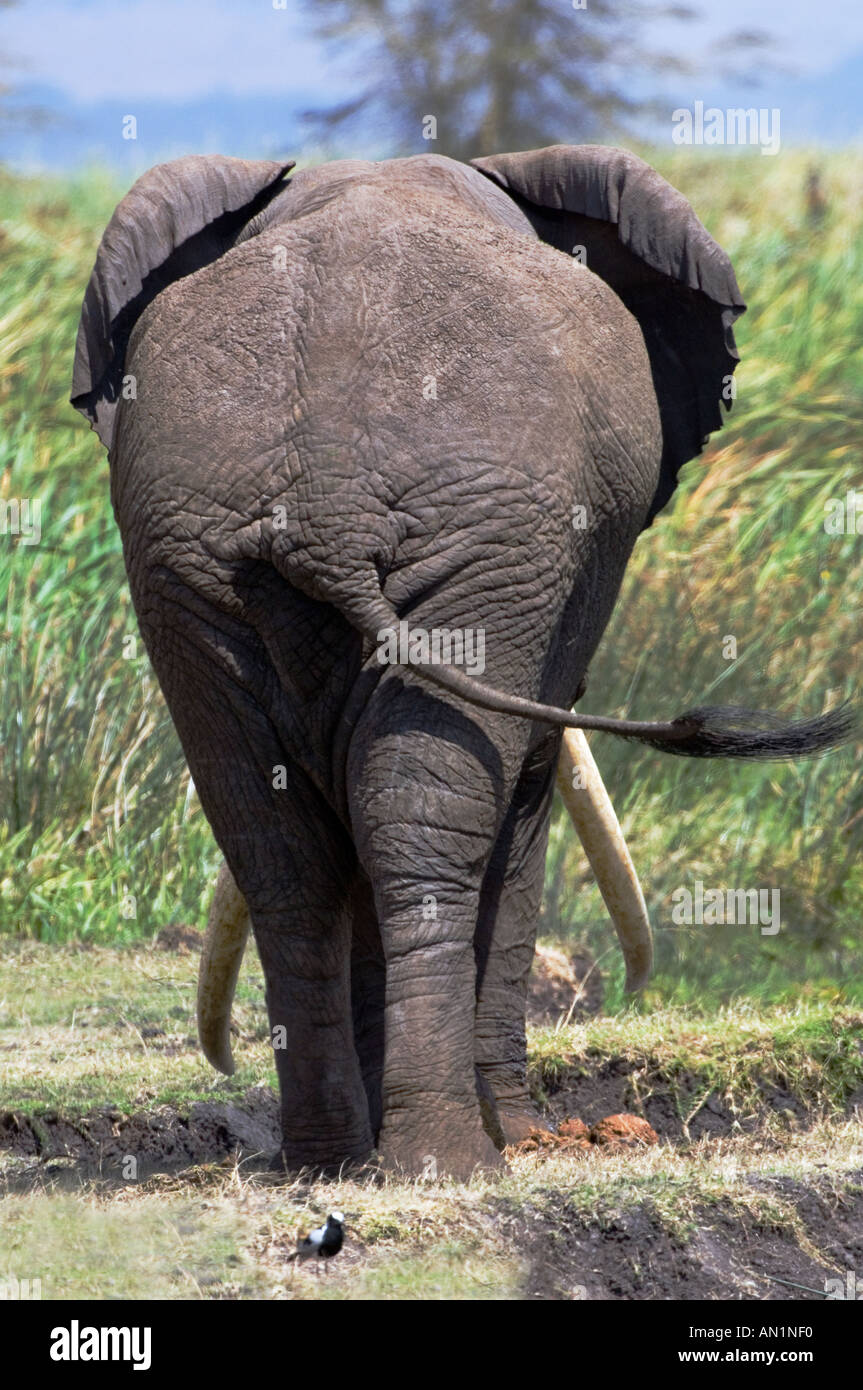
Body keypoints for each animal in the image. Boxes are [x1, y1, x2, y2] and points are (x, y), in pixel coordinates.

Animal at [72, 144, 851, 1178]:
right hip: (484, 544)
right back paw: (451, 1158)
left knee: (279, 841)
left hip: (195, 553)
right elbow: (519, 792)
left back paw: (331, 1160)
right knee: (434, 815)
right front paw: (521, 1138)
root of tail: (325, 502)